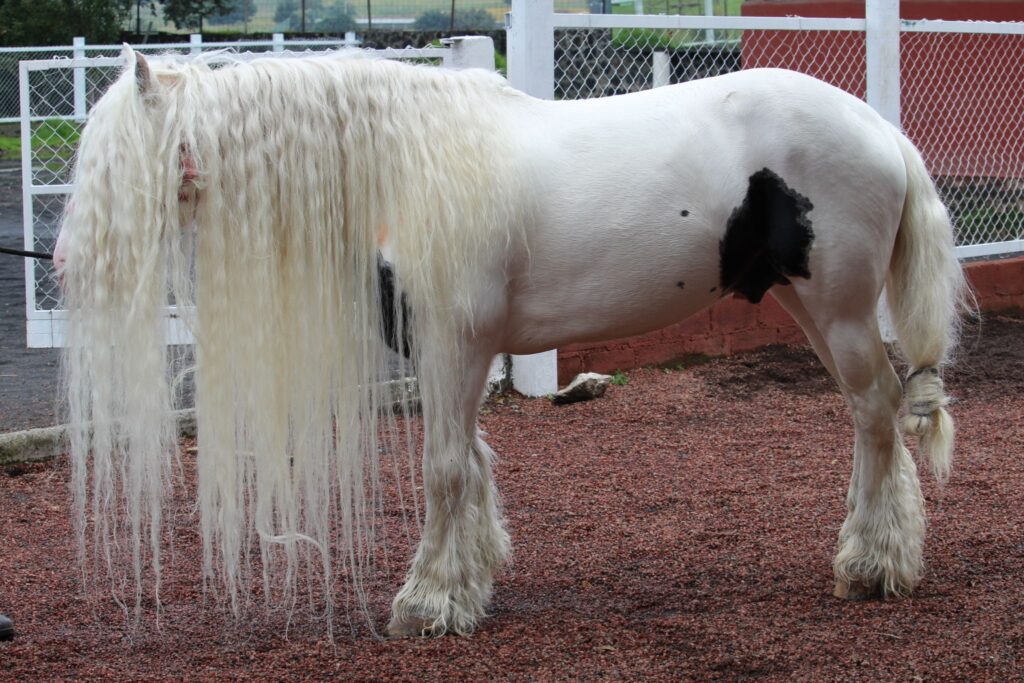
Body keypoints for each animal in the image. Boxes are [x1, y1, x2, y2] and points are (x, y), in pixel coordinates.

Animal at [53, 46, 969, 638]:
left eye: (117, 158)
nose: (62, 262)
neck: (405, 169)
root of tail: (882, 131)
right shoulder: (452, 351)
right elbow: (474, 461)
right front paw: (471, 579)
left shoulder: (455, 345)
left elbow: (444, 468)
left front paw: (426, 602)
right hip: (809, 307)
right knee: (867, 416)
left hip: (839, 308)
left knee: (878, 415)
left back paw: (874, 565)